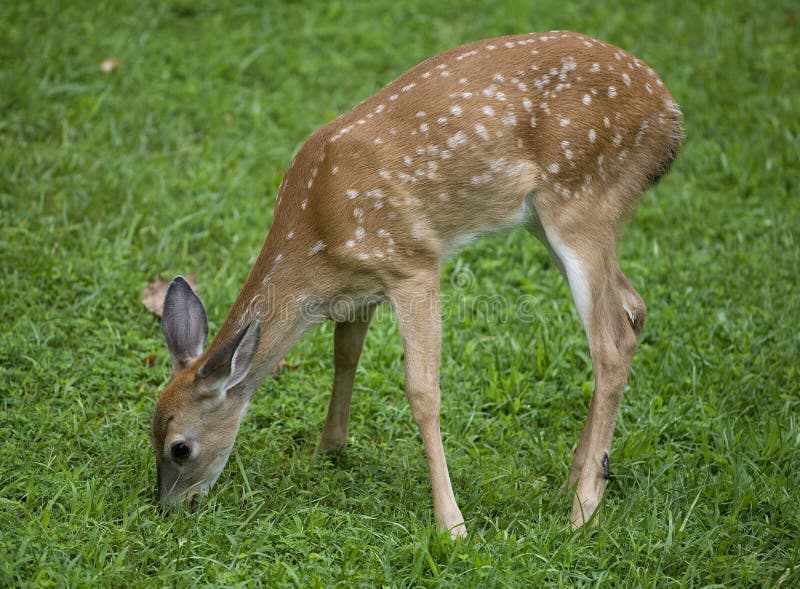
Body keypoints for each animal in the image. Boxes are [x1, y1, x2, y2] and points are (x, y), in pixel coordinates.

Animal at [150, 30, 683, 538]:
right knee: (634, 308)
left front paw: (453, 526)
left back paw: (583, 510)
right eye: (150, 431)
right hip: (551, 216)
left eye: (179, 448)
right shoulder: (359, 288)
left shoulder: (412, 264)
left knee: (610, 343)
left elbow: (423, 392)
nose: (167, 508)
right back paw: (569, 484)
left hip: (582, 198)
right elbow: (345, 356)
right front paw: (327, 449)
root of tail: (671, 115)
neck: (316, 237)